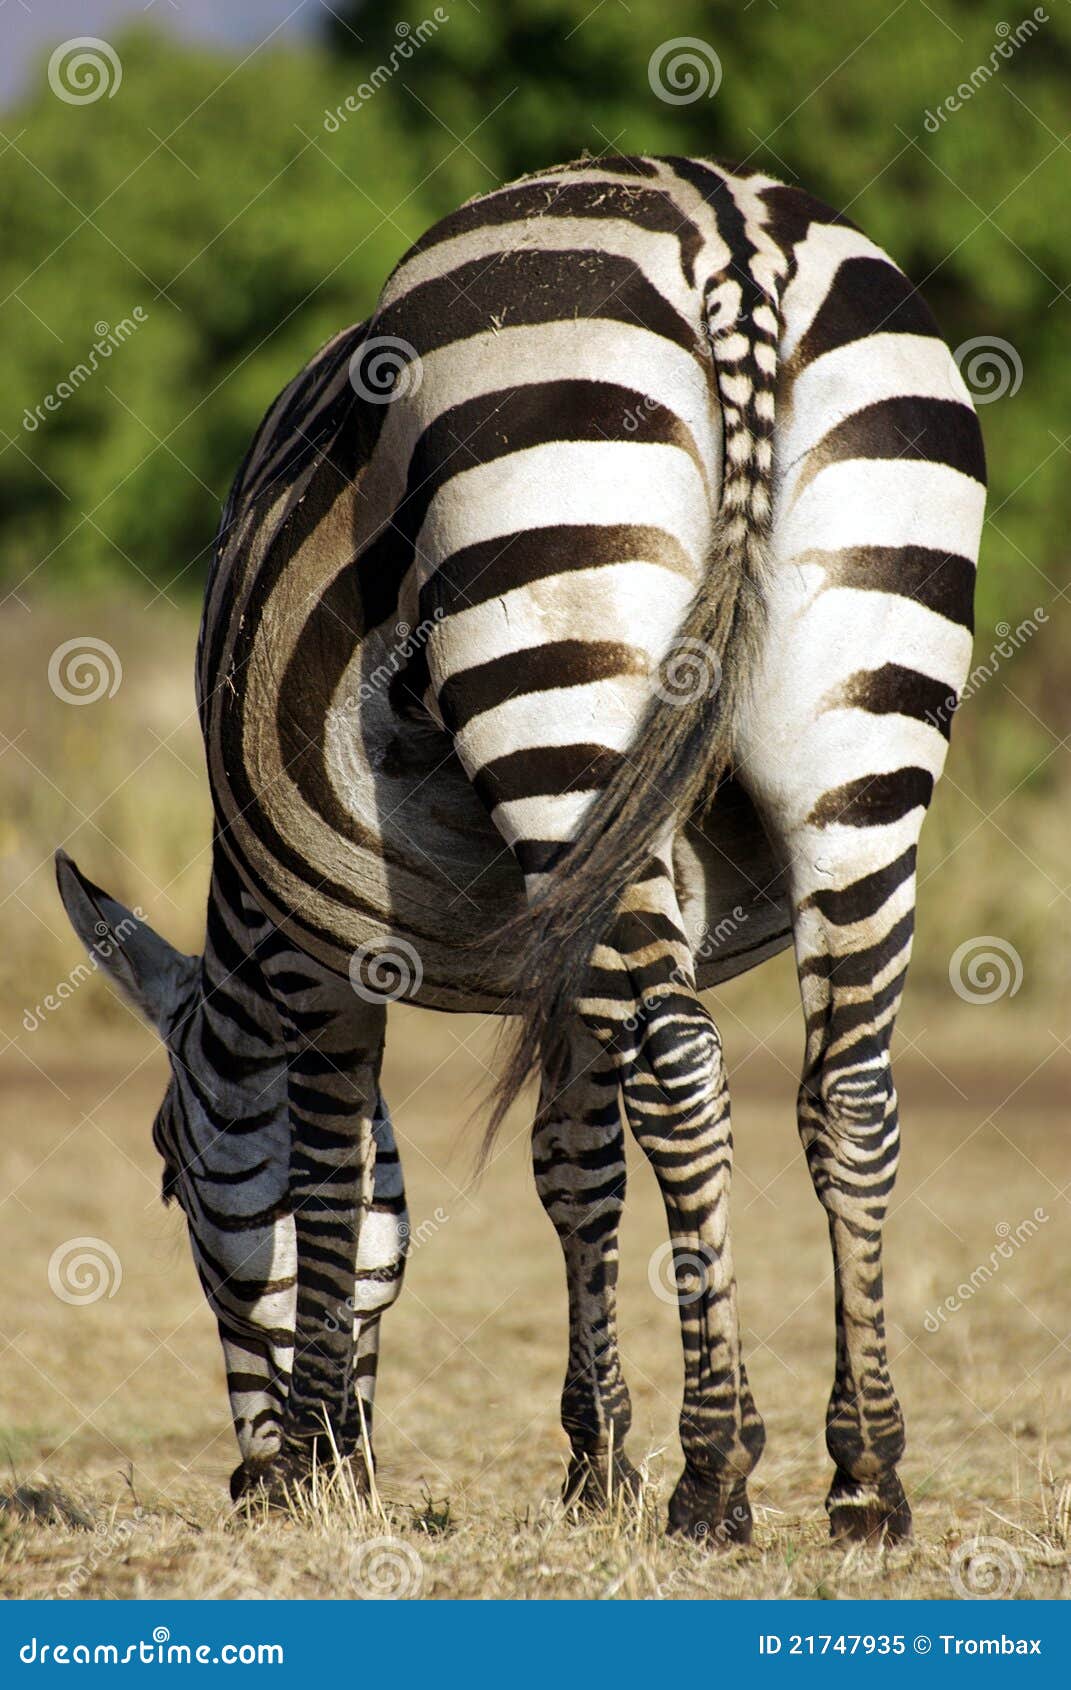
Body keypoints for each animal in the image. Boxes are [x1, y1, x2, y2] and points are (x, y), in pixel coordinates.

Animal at [57, 154, 985, 1545]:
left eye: (171, 1176)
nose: (242, 1481)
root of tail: (723, 222)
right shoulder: (579, 940)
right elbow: (575, 1166)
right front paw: (594, 1461)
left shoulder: (315, 948)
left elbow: (331, 1176)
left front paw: (321, 1458)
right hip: (856, 740)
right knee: (849, 1091)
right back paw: (866, 1472)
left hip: (558, 675)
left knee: (687, 1074)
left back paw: (718, 1473)